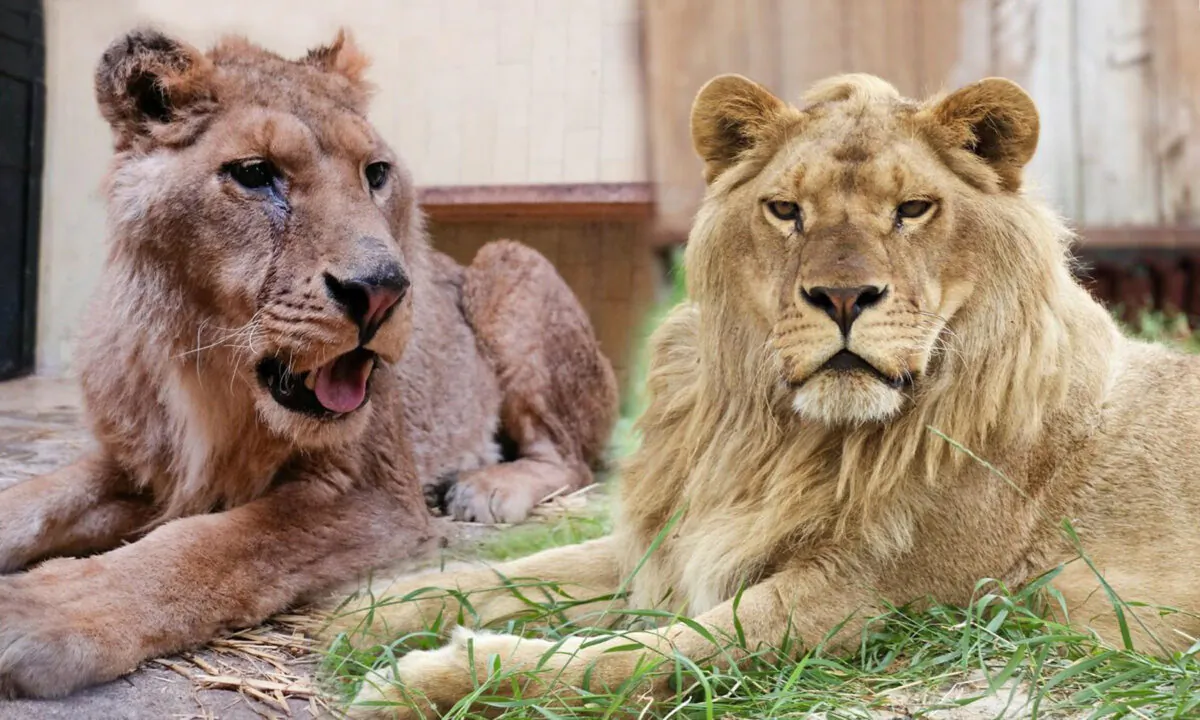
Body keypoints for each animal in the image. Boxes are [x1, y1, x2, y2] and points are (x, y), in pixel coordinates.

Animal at [0, 28, 616, 698]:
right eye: (255, 174)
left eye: (376, 174)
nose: (383, 291)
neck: (210, 378)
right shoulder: (144, 466)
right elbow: (37, 498)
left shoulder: (381, 499)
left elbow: (215, 543)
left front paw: (43, 610)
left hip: (508, 259)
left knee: (573, 459)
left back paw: (487, 486)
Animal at [324, 73, 1200, 718]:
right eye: (786, 210)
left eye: (913, 209)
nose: (843, 297)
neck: (783, 435)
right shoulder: (673, 537)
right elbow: (515, 573)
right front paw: (364, 610)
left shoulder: (864, 599)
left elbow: (642, 656)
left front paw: (431, 681)